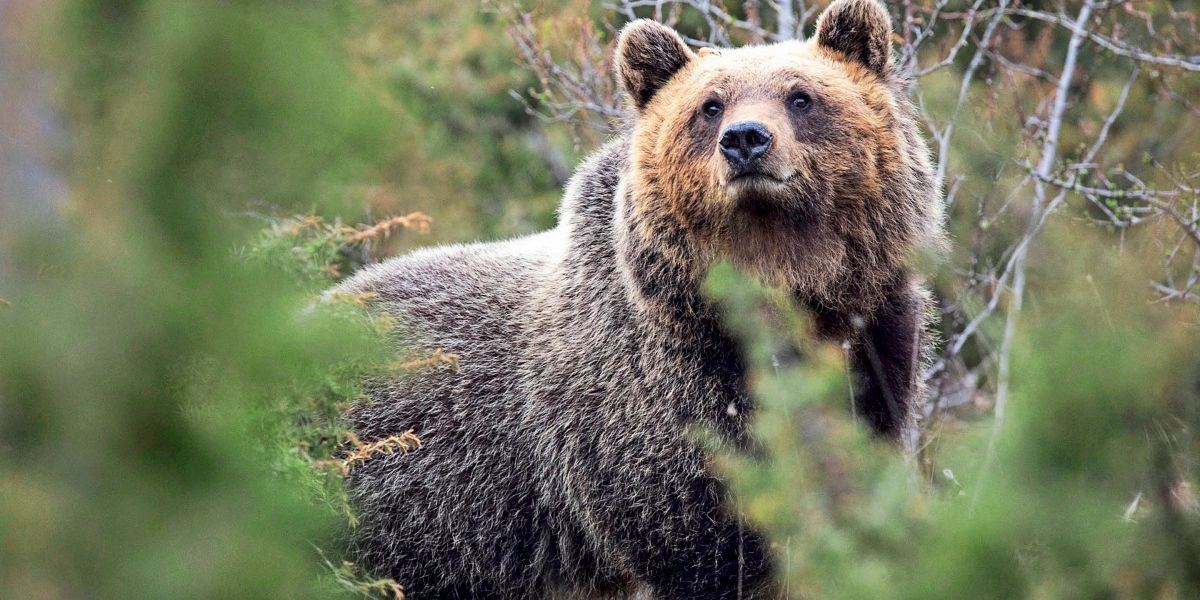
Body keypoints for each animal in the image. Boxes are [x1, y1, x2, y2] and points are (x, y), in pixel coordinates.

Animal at [331, 0, 943, 597]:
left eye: (801, 96)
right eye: (710, 106)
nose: (746, 139)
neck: (784, 292)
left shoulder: (875, 340)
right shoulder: (656, 398)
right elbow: (703, 542)